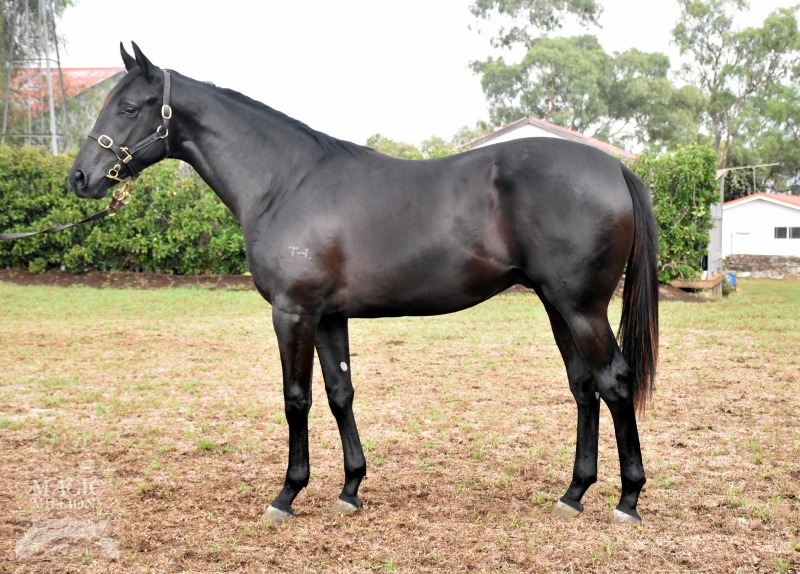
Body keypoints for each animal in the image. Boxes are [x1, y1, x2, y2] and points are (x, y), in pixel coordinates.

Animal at [69, 43, 658, 525]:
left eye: (128, 108)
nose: (79, 178)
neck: (286, 183)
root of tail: (614, 168)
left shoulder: (294, 311)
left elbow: (297, 398)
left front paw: (287, 494)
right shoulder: (329, 316)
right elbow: (340, 394)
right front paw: (350, 488)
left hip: (581, 307)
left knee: (613, 382)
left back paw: (627, 499)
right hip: (558, 305)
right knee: (583, 387)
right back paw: (574, 493)